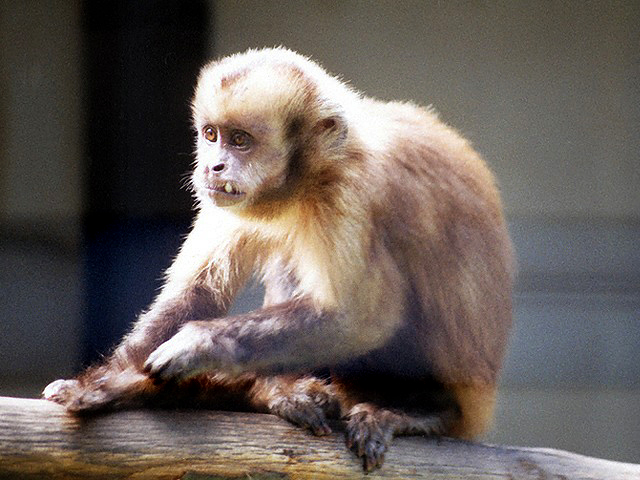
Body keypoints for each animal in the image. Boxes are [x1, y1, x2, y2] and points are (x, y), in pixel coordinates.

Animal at [44, 47, 513, 472]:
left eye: (240, 141)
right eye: (211, 135)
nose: (214, 166)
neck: (313, 174)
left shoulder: (351, 190)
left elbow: (362, 320)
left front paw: (196, 345)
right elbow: (195, 294)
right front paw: (109, 381)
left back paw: (421, 413)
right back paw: (274, 392)